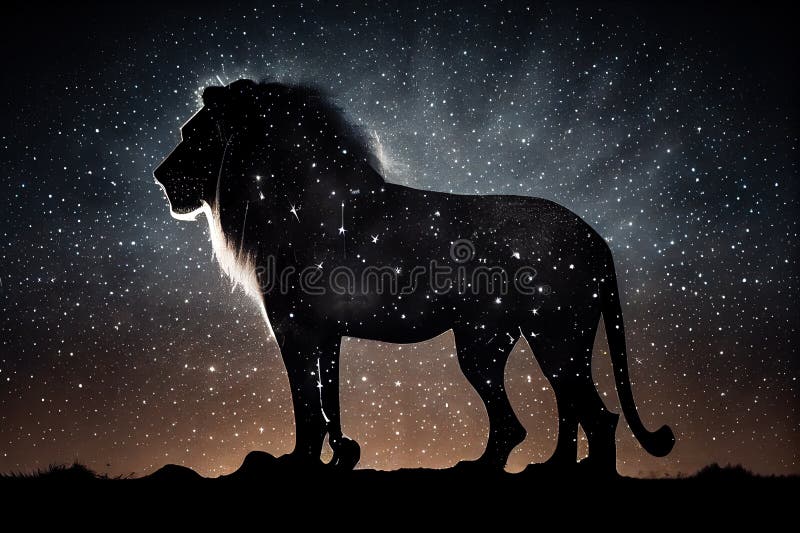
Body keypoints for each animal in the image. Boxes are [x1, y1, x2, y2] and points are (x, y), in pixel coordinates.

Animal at [154, 79, 674, 473]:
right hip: (497, 341)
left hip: (550, 336)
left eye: (192, 134)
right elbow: (327, 399)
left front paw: (300, 461)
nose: (158, 176)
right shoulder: (325, 333)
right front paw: (341, 456)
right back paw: (522, 469)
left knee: (594, 418)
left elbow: (306, 404)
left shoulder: (294, 328)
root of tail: (596, 237)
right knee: (546, 416)